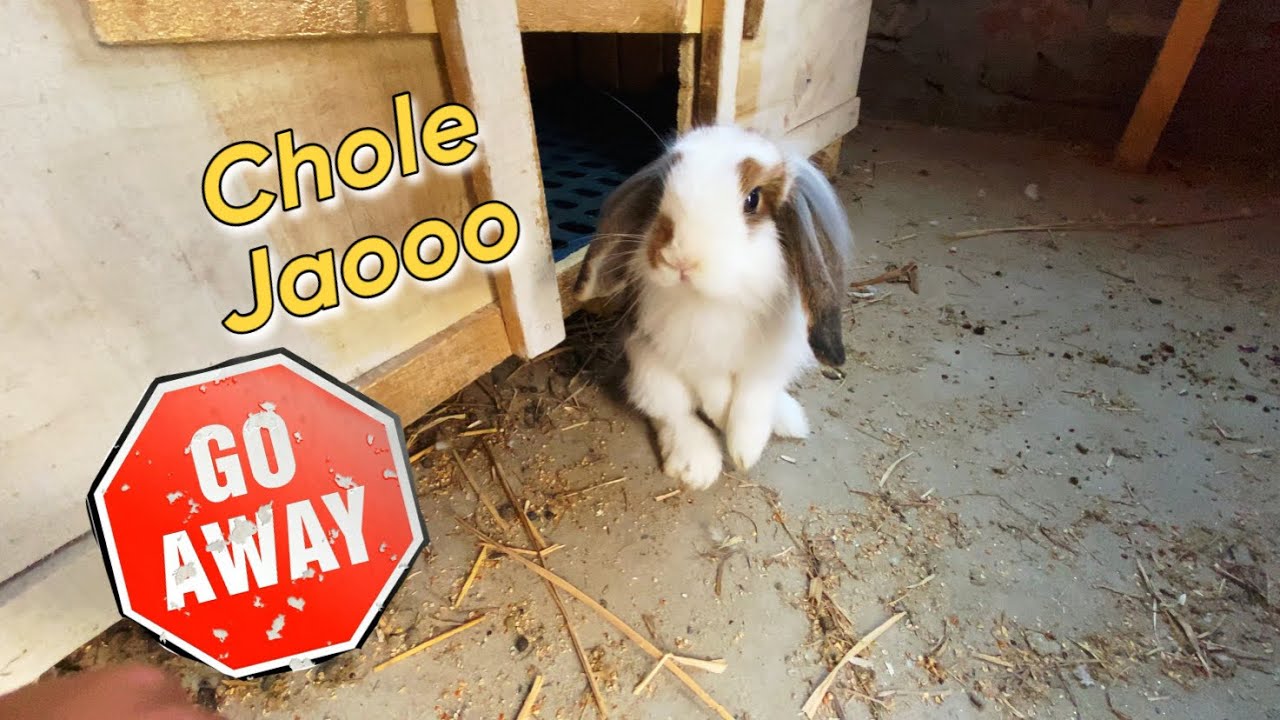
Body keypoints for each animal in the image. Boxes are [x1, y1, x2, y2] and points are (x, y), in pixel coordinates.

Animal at [573, 124, 853, 490]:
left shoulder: (770, 358)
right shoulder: (689, 351)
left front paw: (745, 449)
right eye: (662, 191)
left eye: (753, 199)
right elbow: (713, 392)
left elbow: (753, 398)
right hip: (649, 371)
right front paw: (723, 424)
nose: (680, 258)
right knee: (671, 412)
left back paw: (789, 420)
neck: (721, 300)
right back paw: (695, 465)